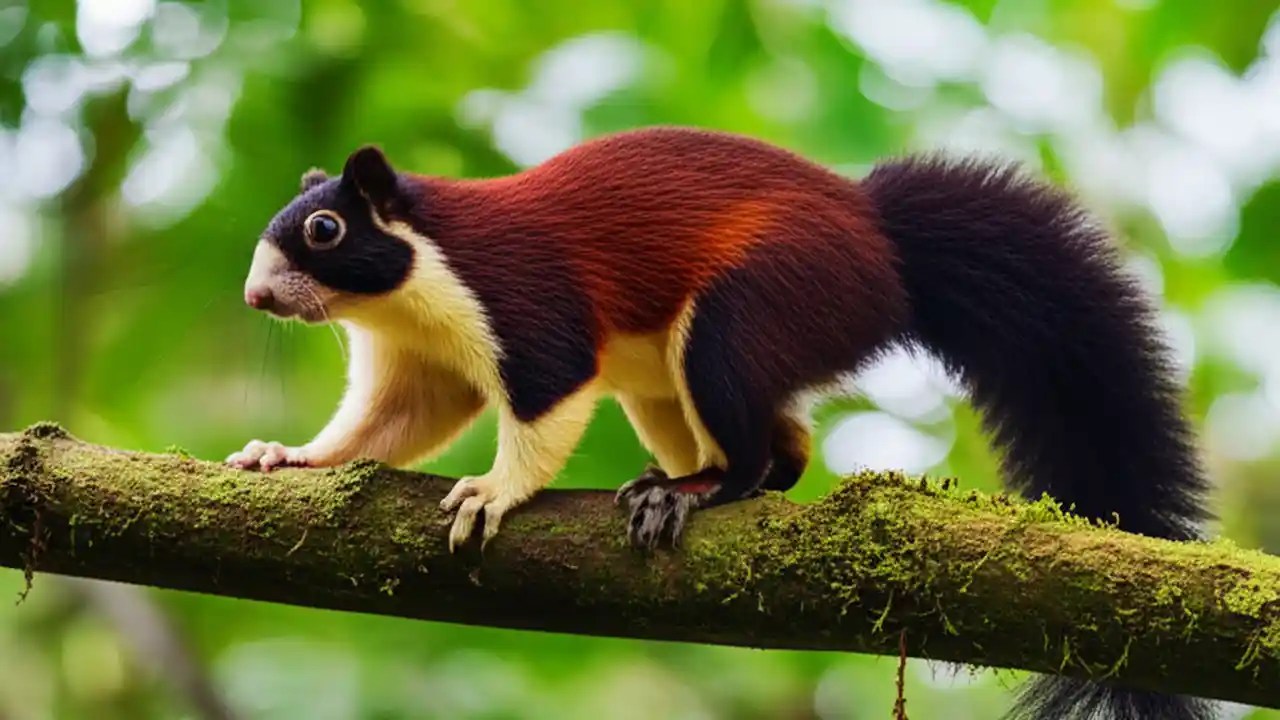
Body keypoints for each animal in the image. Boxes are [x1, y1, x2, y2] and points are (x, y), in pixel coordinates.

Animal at [226, 127, 1212, 720]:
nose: (254, 298)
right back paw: (696, 476)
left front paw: (493, 492)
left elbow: (542, 402)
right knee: (787, 447)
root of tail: (885, 251)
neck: (415, 284)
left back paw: (696, 489)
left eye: (322, 229)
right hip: (666, 383)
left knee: (746, 437)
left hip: (749, 315)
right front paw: (291, 456)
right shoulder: (418, 365)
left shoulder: (524, 301)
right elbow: (389, 428)